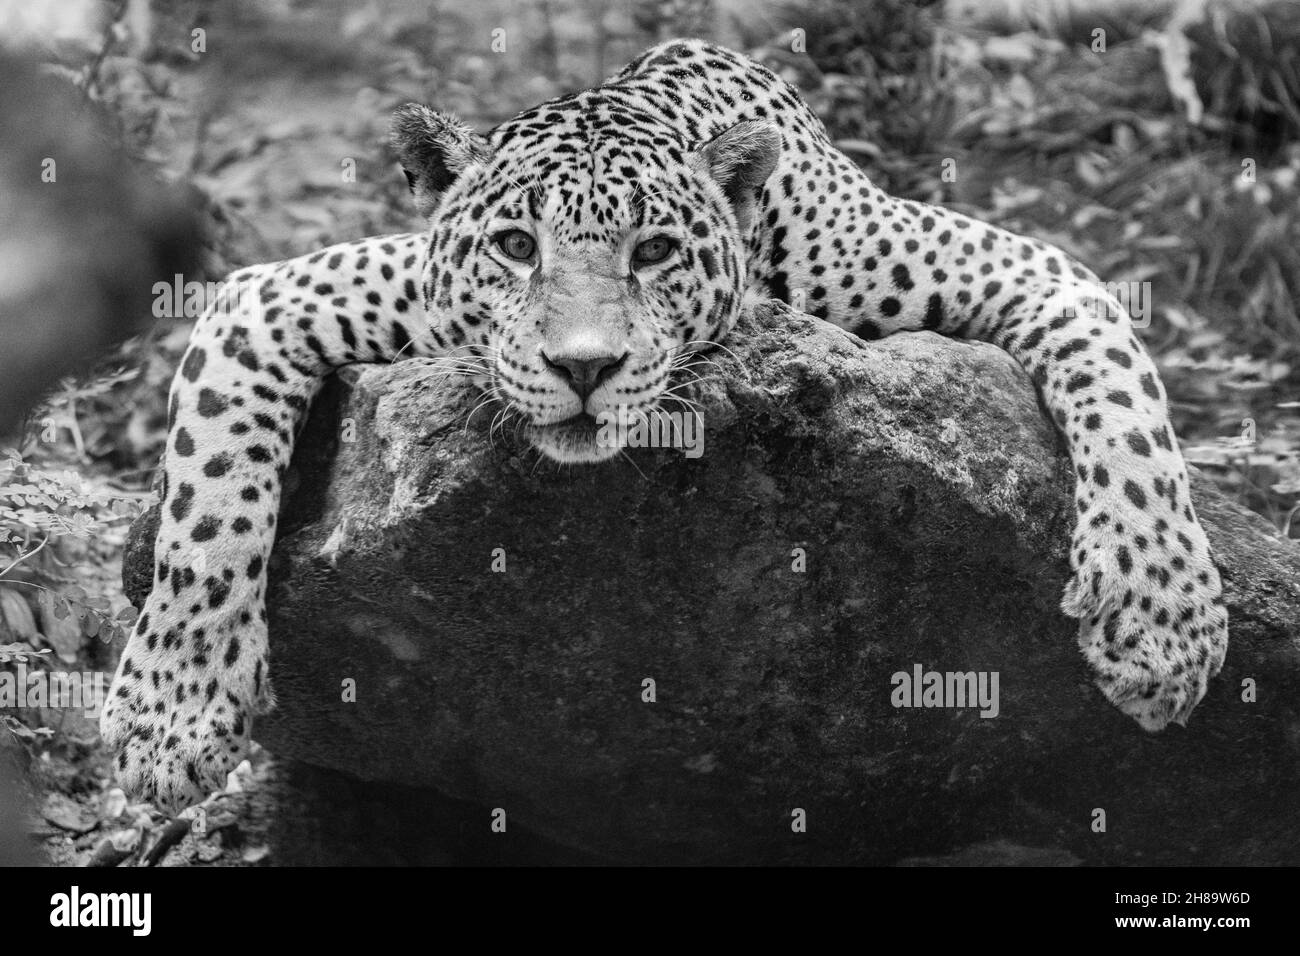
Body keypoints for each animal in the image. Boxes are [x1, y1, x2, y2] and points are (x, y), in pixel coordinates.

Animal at [101, 39, 1228, 812]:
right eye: (515, 246)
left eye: (652, 252)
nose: (583, 367)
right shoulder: (269, 294)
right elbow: (204, 511)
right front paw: (170, 717)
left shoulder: (1012, 263)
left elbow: (1126, 395)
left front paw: (1161, 617)